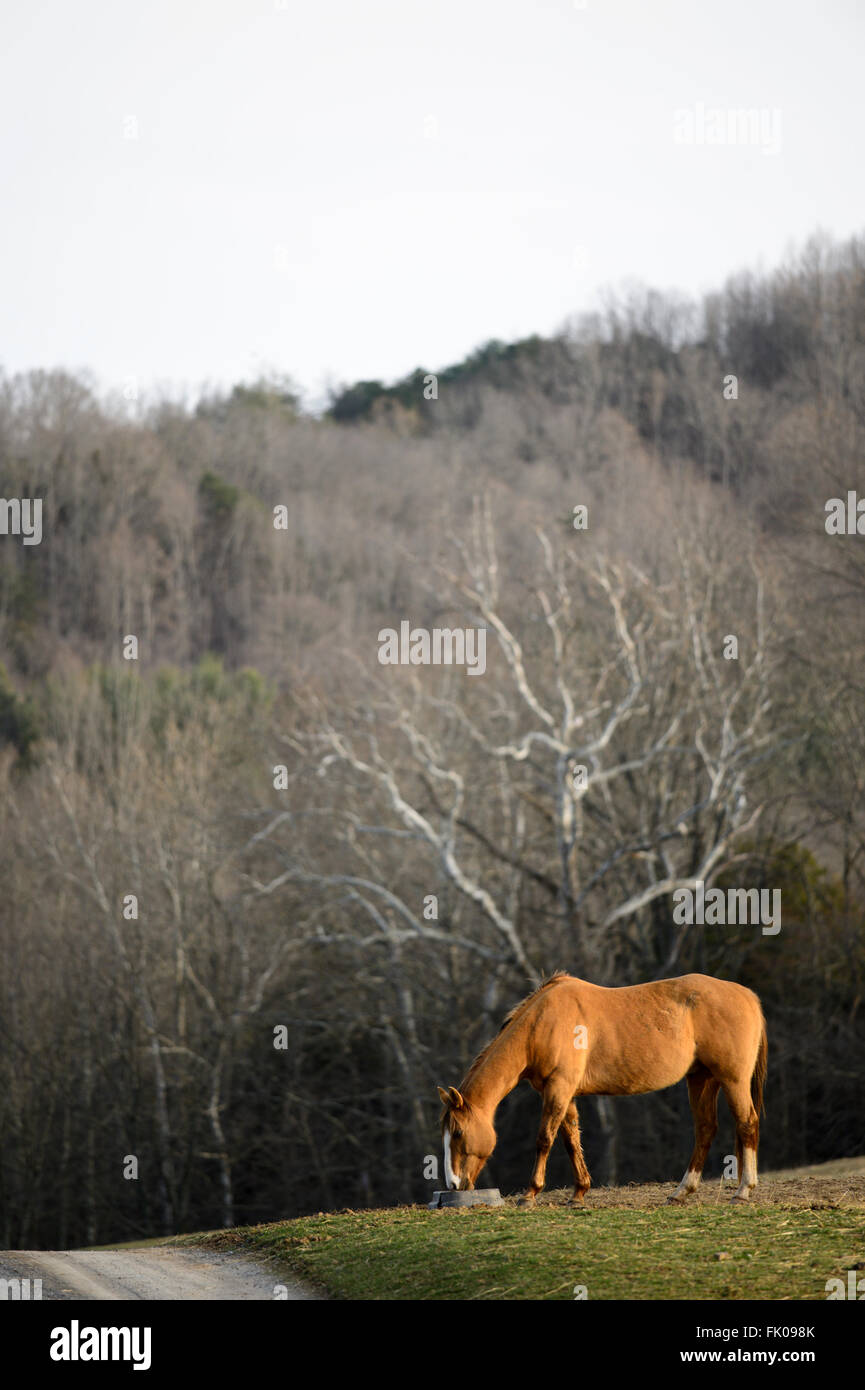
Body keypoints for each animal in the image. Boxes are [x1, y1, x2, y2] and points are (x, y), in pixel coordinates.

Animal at [438, 971, 767, 1206]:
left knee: (747, 1123)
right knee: (705, 1129)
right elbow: (571, 1139)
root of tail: (747, 995)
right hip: (701, 1079)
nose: (454, 1185)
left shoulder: (558, 1088)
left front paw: (530, 1194)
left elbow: (545, 1139)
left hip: (732, 1080)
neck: (542, 1023)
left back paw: (743, 1191)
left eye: (458, 1132)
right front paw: (578, 1193)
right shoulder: (564, 1093)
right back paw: (681, 1192)